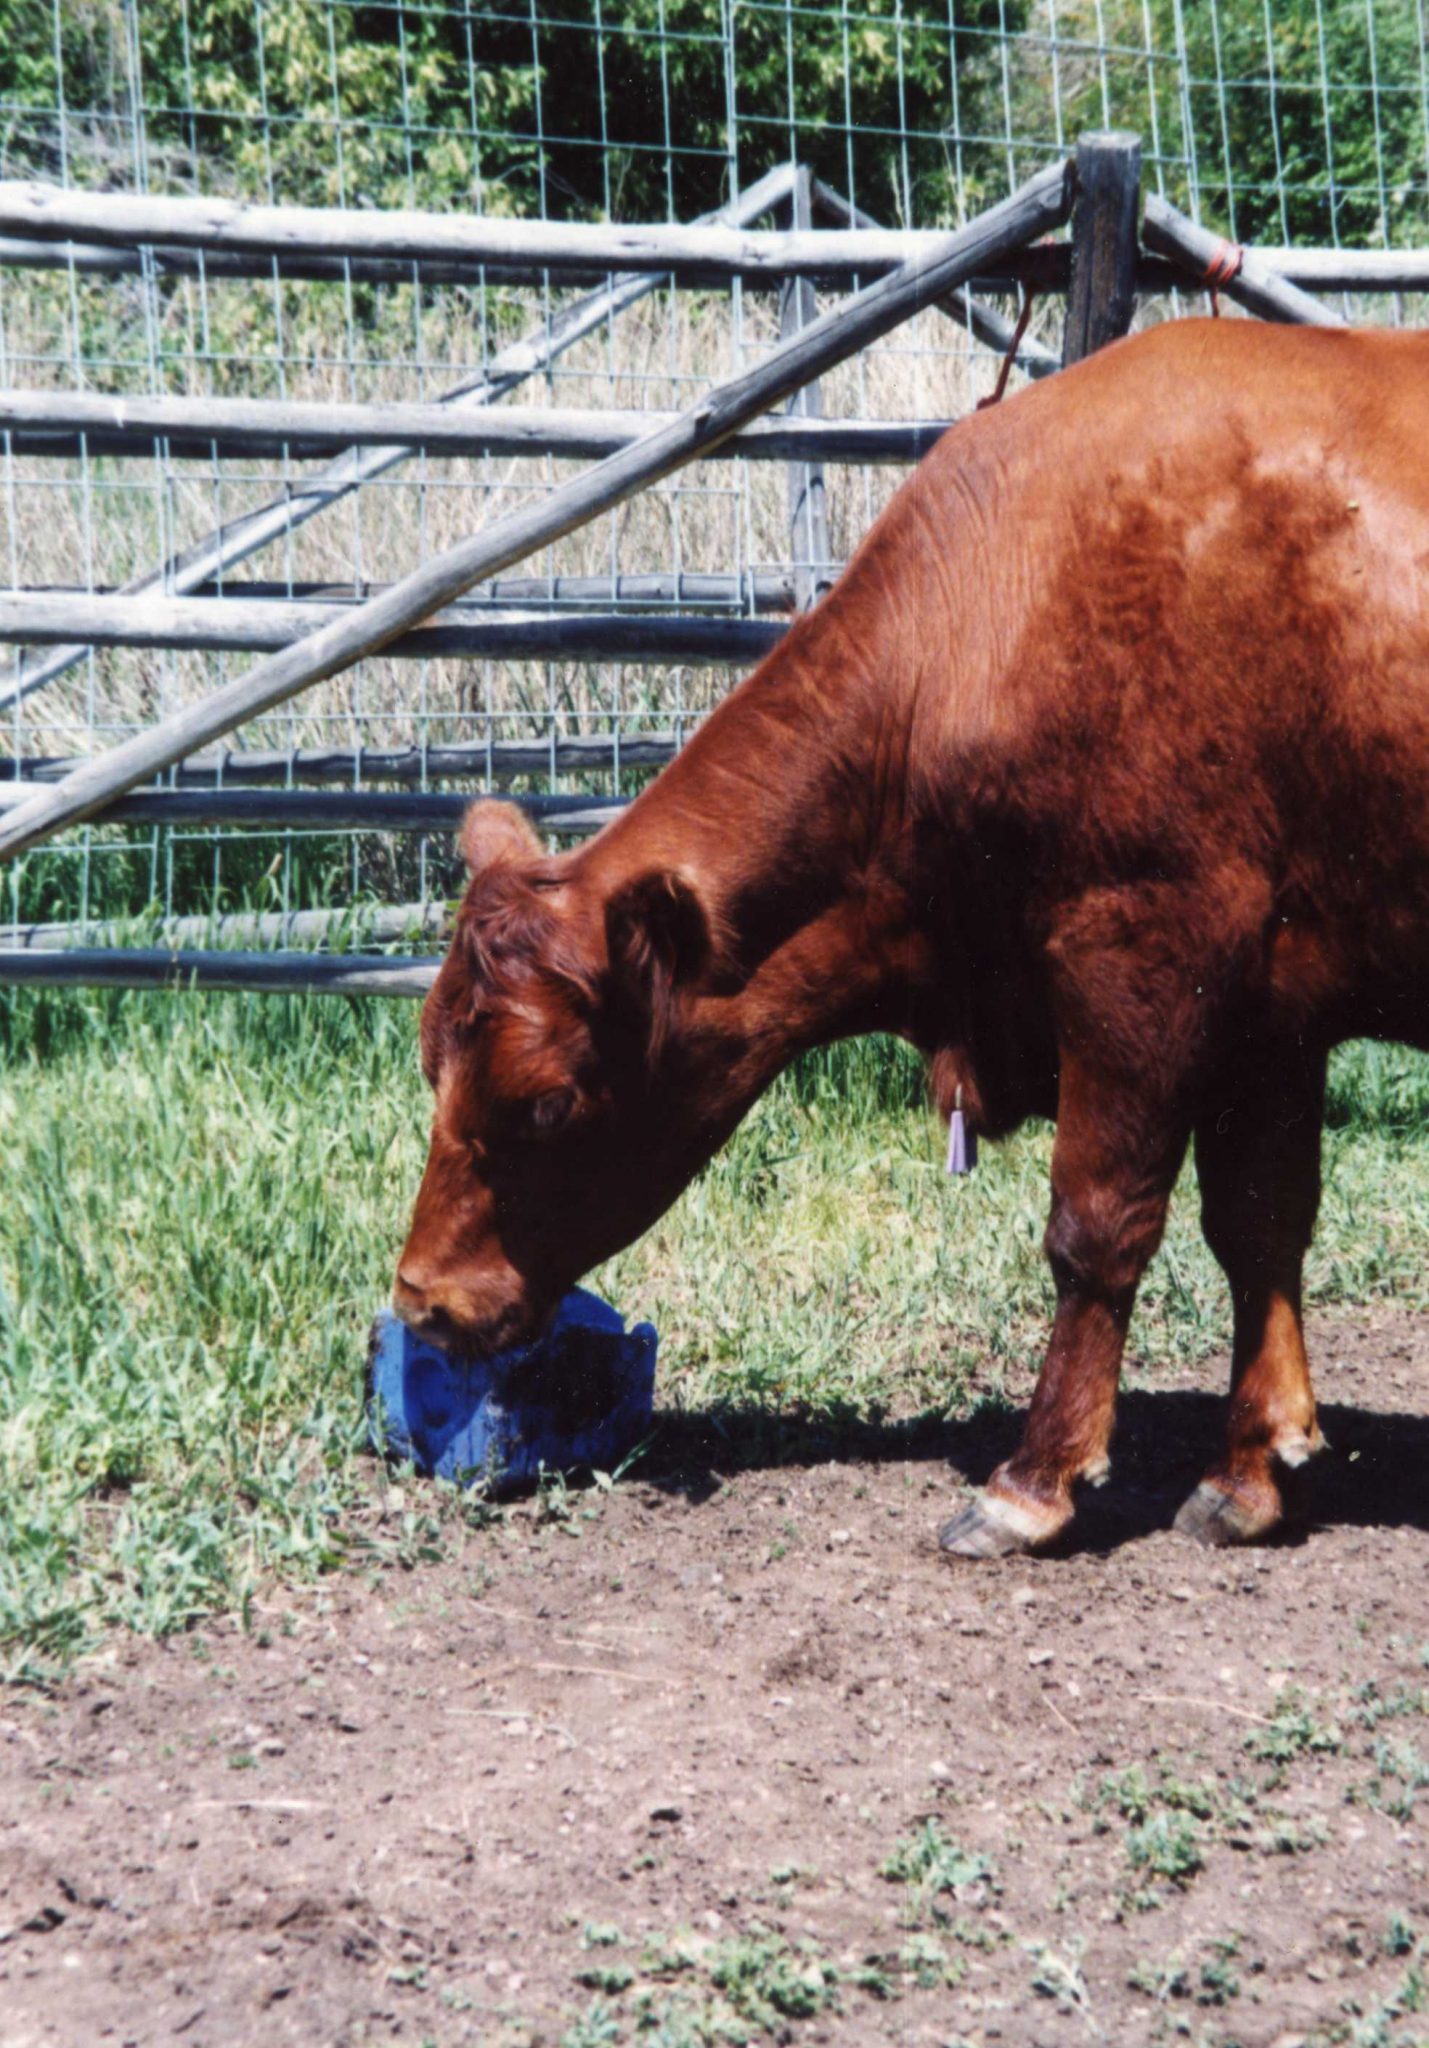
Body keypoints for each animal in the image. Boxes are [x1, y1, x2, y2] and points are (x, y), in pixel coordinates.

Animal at [395, 315, 1429, 1558]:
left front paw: (1030, 1481)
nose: (424, 1297)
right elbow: (1259, 1221)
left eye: (549, 1099)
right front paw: (1250, 1471)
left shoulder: (1143, 952)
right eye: (432, 1059)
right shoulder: (1271, 1011)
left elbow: (1096, 1223)